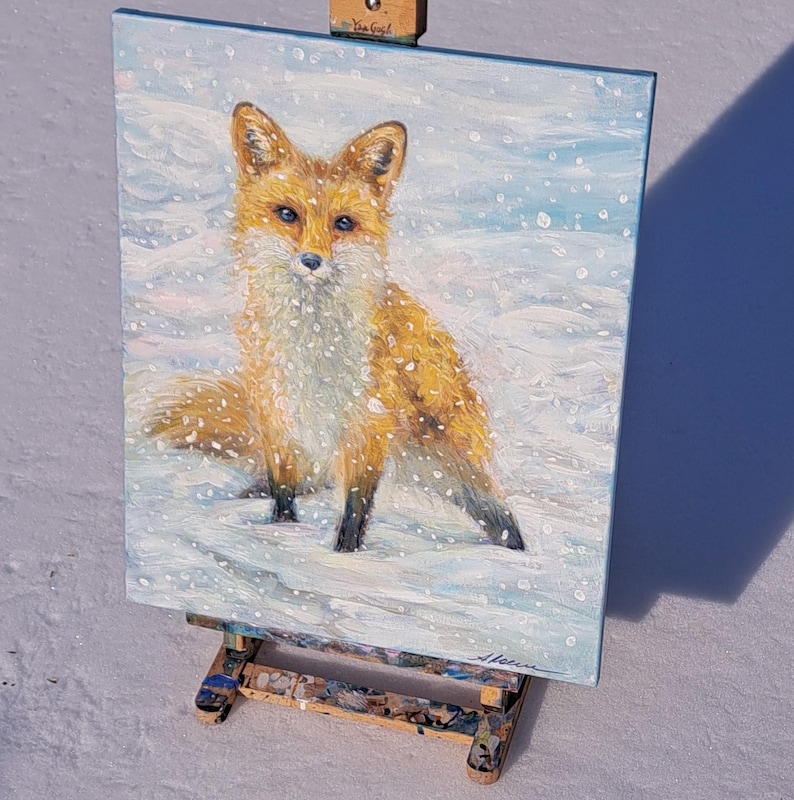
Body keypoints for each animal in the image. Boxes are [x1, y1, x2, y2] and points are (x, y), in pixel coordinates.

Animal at [148, 101, 525, 553]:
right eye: (287, 215)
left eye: (343, 223)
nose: (312, 260)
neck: (313, 345)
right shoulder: (277, 420)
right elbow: (283, 495)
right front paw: (280, 534)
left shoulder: (367, 429)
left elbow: (355, 510)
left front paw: (344, 557)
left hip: (455, 460)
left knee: (499, 514)